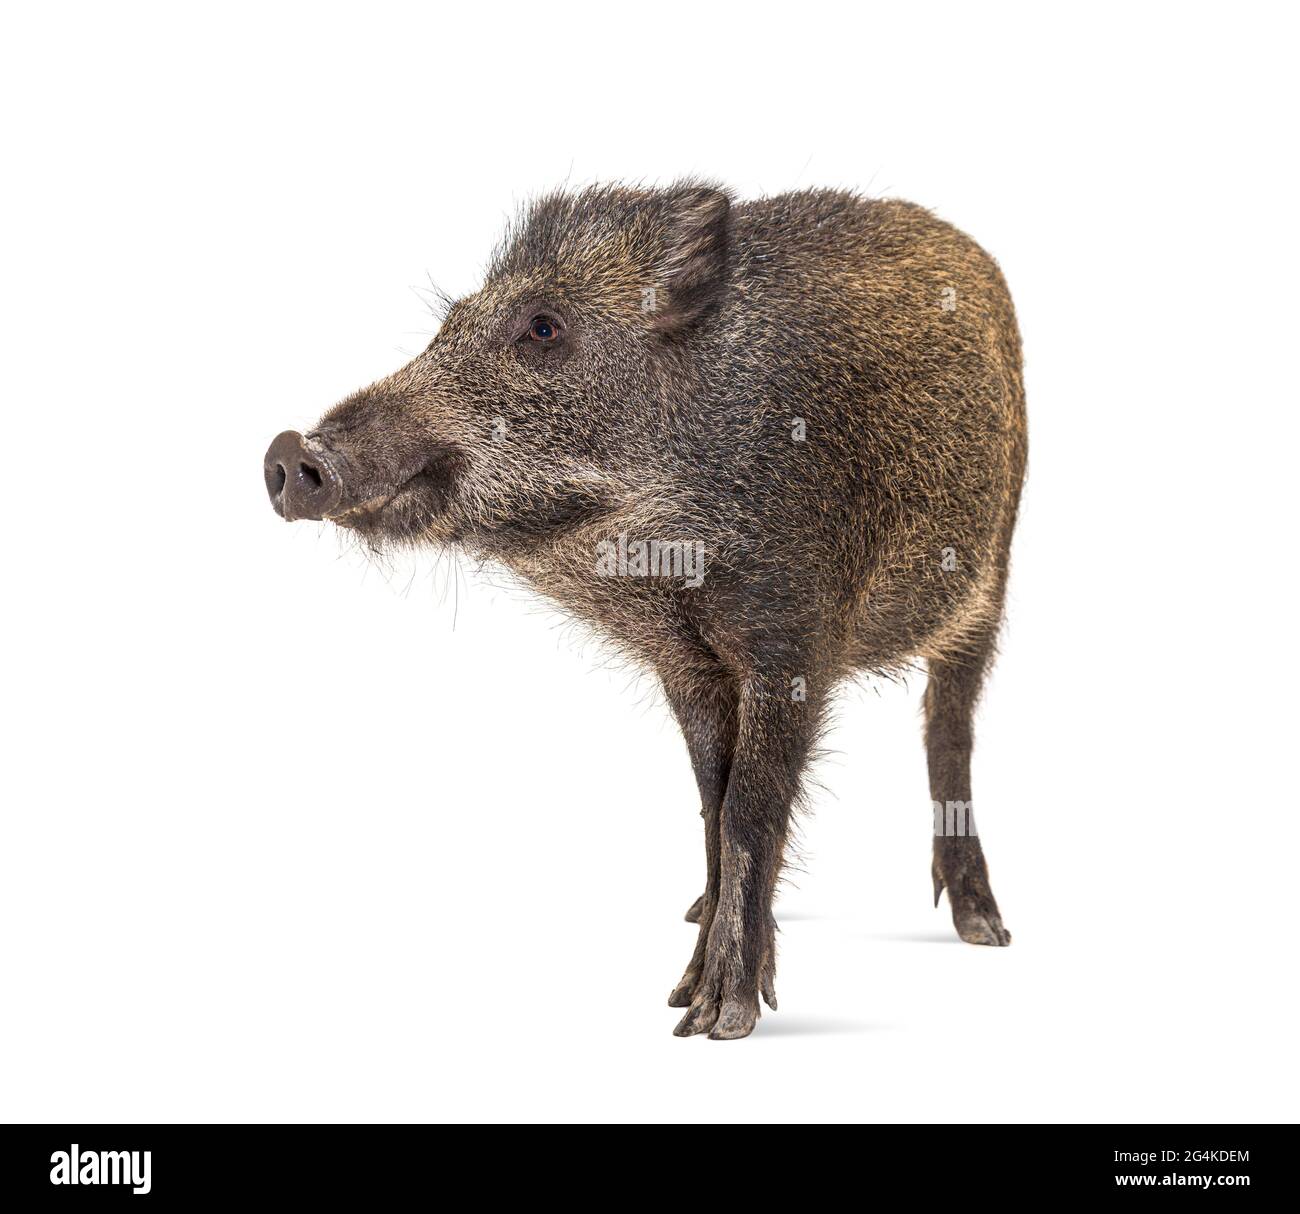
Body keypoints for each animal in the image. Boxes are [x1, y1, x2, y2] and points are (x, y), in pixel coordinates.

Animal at [263, 182, 1027, 1040]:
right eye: (451, 319)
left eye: (543, 327)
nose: (290, 452)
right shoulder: (685, 663)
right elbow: (711, 802)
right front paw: (689, 982)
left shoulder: (793, 642)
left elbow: (750, 809)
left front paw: (715, 1017)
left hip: (993, 573)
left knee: (950, 730)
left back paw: (986, 930)